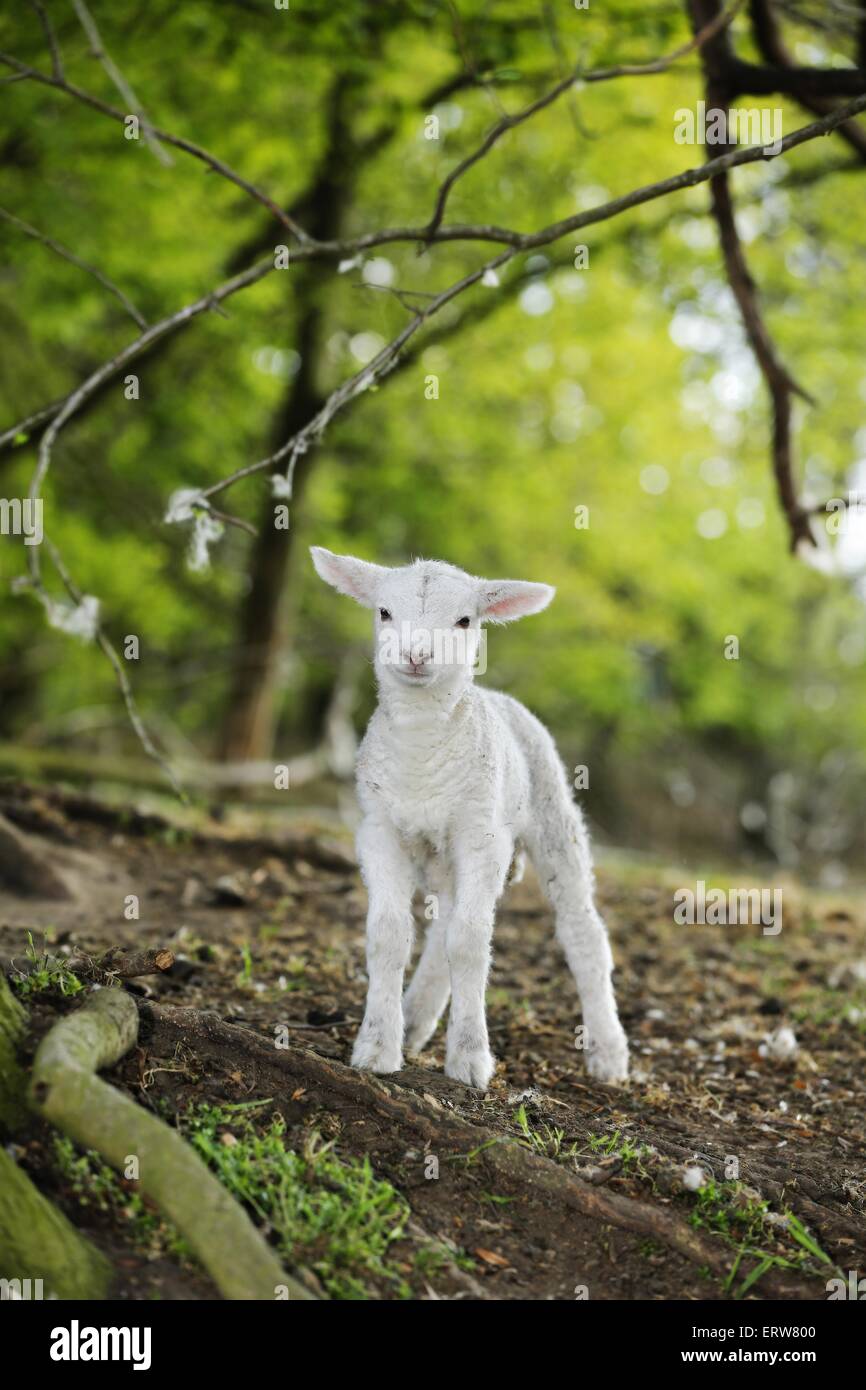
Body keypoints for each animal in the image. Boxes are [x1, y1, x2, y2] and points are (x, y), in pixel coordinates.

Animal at [310, 547, 629, 1089]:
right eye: (383, 612)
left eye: (464, 620)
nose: (417, 655)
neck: (421, 745)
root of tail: (498, 698)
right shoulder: (379, 831)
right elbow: (389, 934)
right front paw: (376, 1048)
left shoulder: (483, 837)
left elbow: (471, 943)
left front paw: (469, 1060)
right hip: (443, 853)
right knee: (443, 928)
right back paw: (416, 1019)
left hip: (551, 813)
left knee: (581, 931)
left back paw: (608, 1054)